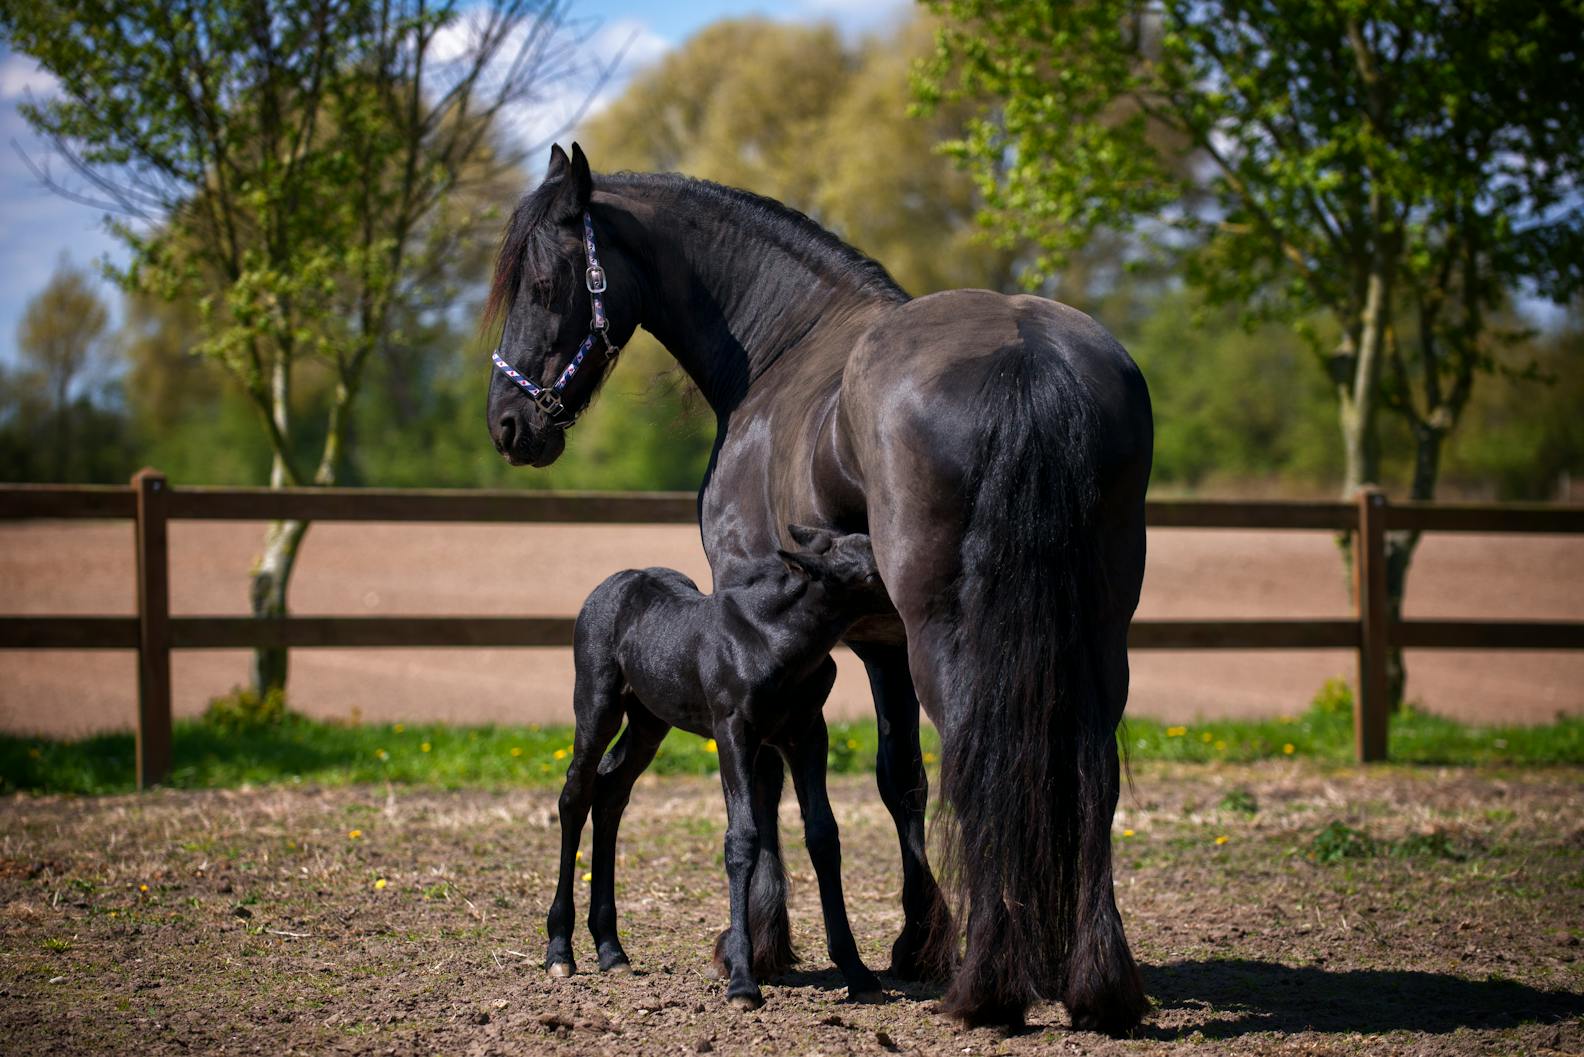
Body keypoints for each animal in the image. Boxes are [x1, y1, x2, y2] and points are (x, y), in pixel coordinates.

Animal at [546, 527, 891, 1008]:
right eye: (872, 571)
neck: (774, 639)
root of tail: (611, 584)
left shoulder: (808, 733)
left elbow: (824, 835)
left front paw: (857, 972)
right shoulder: (733, 730)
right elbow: (742, 838)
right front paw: (742, 982)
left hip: (650, 720)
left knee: (611, 791)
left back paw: (612, 951)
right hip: (597, 704)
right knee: (575, 796)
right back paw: (560, 951)